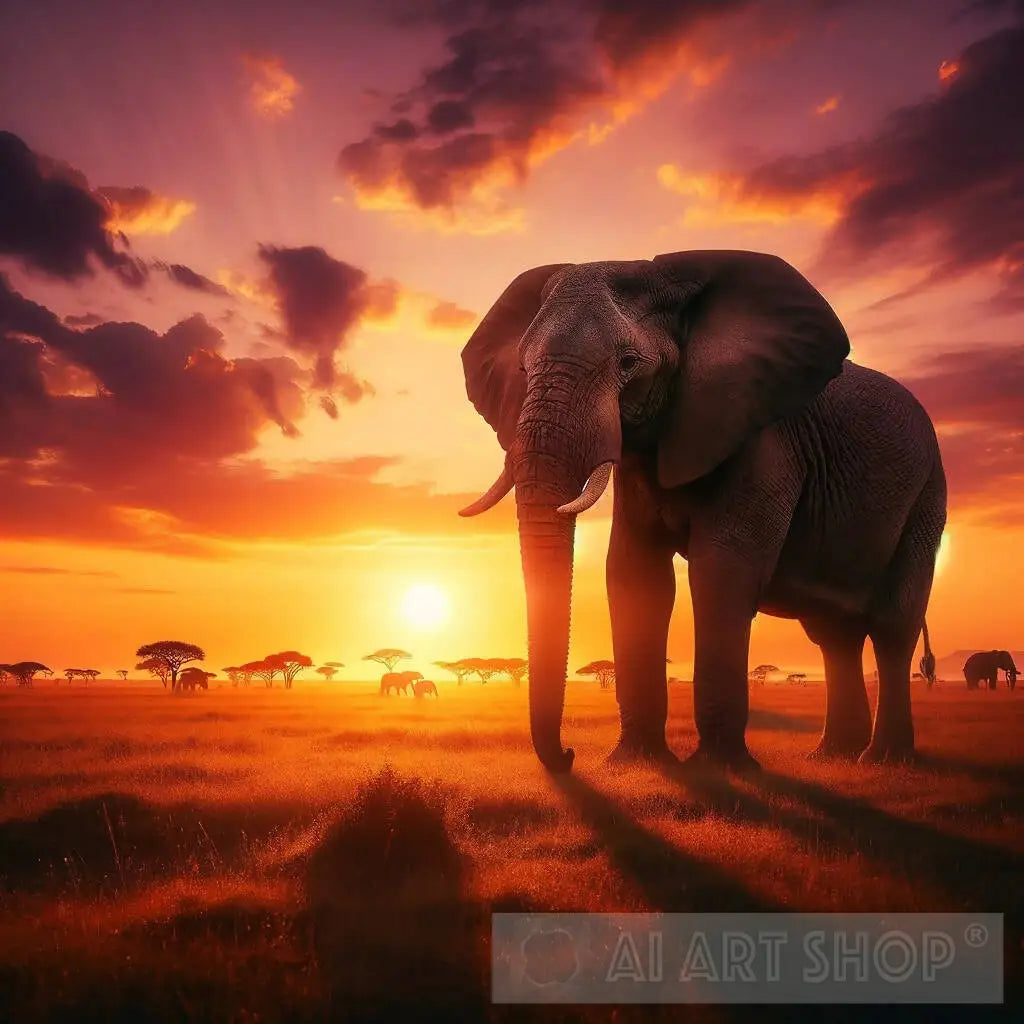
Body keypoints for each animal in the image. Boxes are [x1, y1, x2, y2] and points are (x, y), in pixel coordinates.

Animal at [460, 250, 947, 773]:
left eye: (629, 363)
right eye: (523, 366)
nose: (569, 756)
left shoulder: (762, 441)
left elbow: (720, 572)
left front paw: (719, 770)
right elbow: (635, 575)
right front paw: (636, 765)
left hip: (927, 494)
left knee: (893, 626)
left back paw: (883, 760)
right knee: (834, 636)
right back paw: (832, 757)